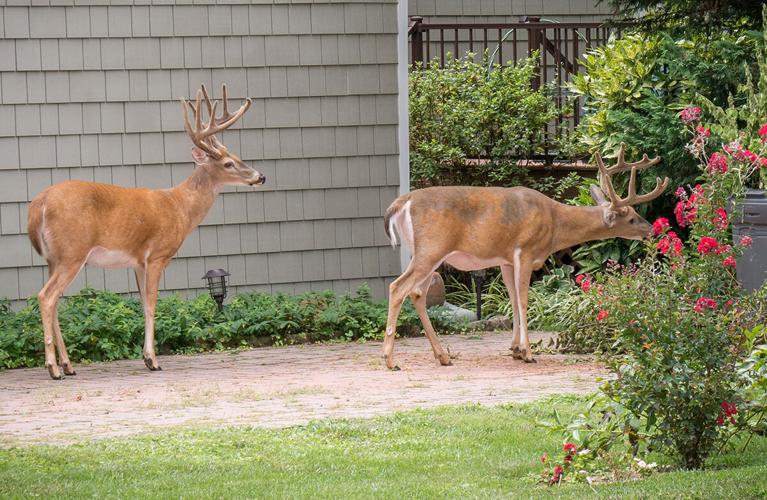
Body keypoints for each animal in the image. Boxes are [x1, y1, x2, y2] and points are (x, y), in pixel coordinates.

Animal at [27, 84, 264, 380]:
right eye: (228, 163)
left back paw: (68, 366)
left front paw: (146, 356)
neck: (179, 207)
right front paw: (152, 359)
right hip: (72, 252)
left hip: (54, 258)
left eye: (237, 157)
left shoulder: (138, 261)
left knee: (54, 300)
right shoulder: (158, 255)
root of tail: (40, 202)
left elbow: (141, 304)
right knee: (46, 297)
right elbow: (152, 303)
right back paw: (53, 368)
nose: (260, 176)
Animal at [382, 145, 669, 370]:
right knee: (397, 287)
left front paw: (515, 350)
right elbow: (523, 299)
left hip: (425, 253)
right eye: (631, 218)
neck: (555, 224)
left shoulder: (506, 259)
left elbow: (512, 299)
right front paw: (529, 353)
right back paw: (390, 360)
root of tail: (402, 202)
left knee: (417, 293)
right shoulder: (526, 251)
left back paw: (442, 356)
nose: (651, 229)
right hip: (431, 249)